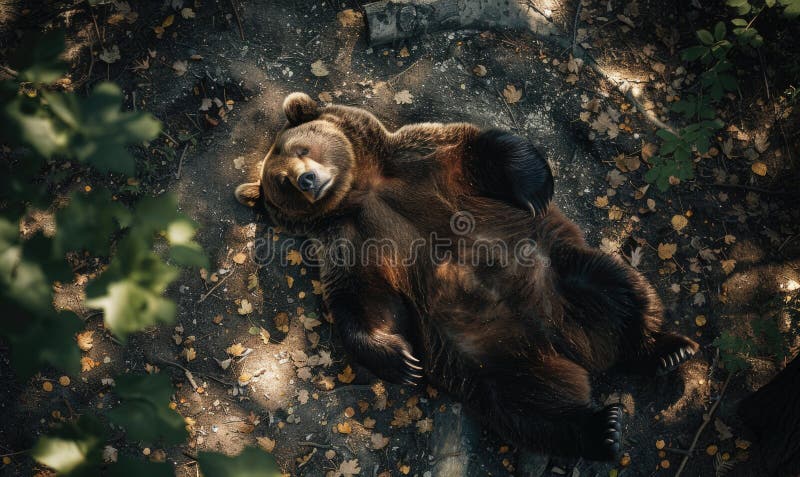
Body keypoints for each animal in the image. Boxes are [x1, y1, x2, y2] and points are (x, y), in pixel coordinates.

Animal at [235, 92, 700, 461]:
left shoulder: (422, 164)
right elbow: (361, 301)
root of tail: (564, 344)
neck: (362, 192)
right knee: (527, 409)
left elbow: (484, 148)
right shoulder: (351, 245)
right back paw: (601, 429)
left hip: (557, 274)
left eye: (301, 147)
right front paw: (403, 361)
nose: (307, 180)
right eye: (281, 179)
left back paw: (666, 348)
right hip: (488, 359)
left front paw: (536, 190)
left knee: (618, 288)